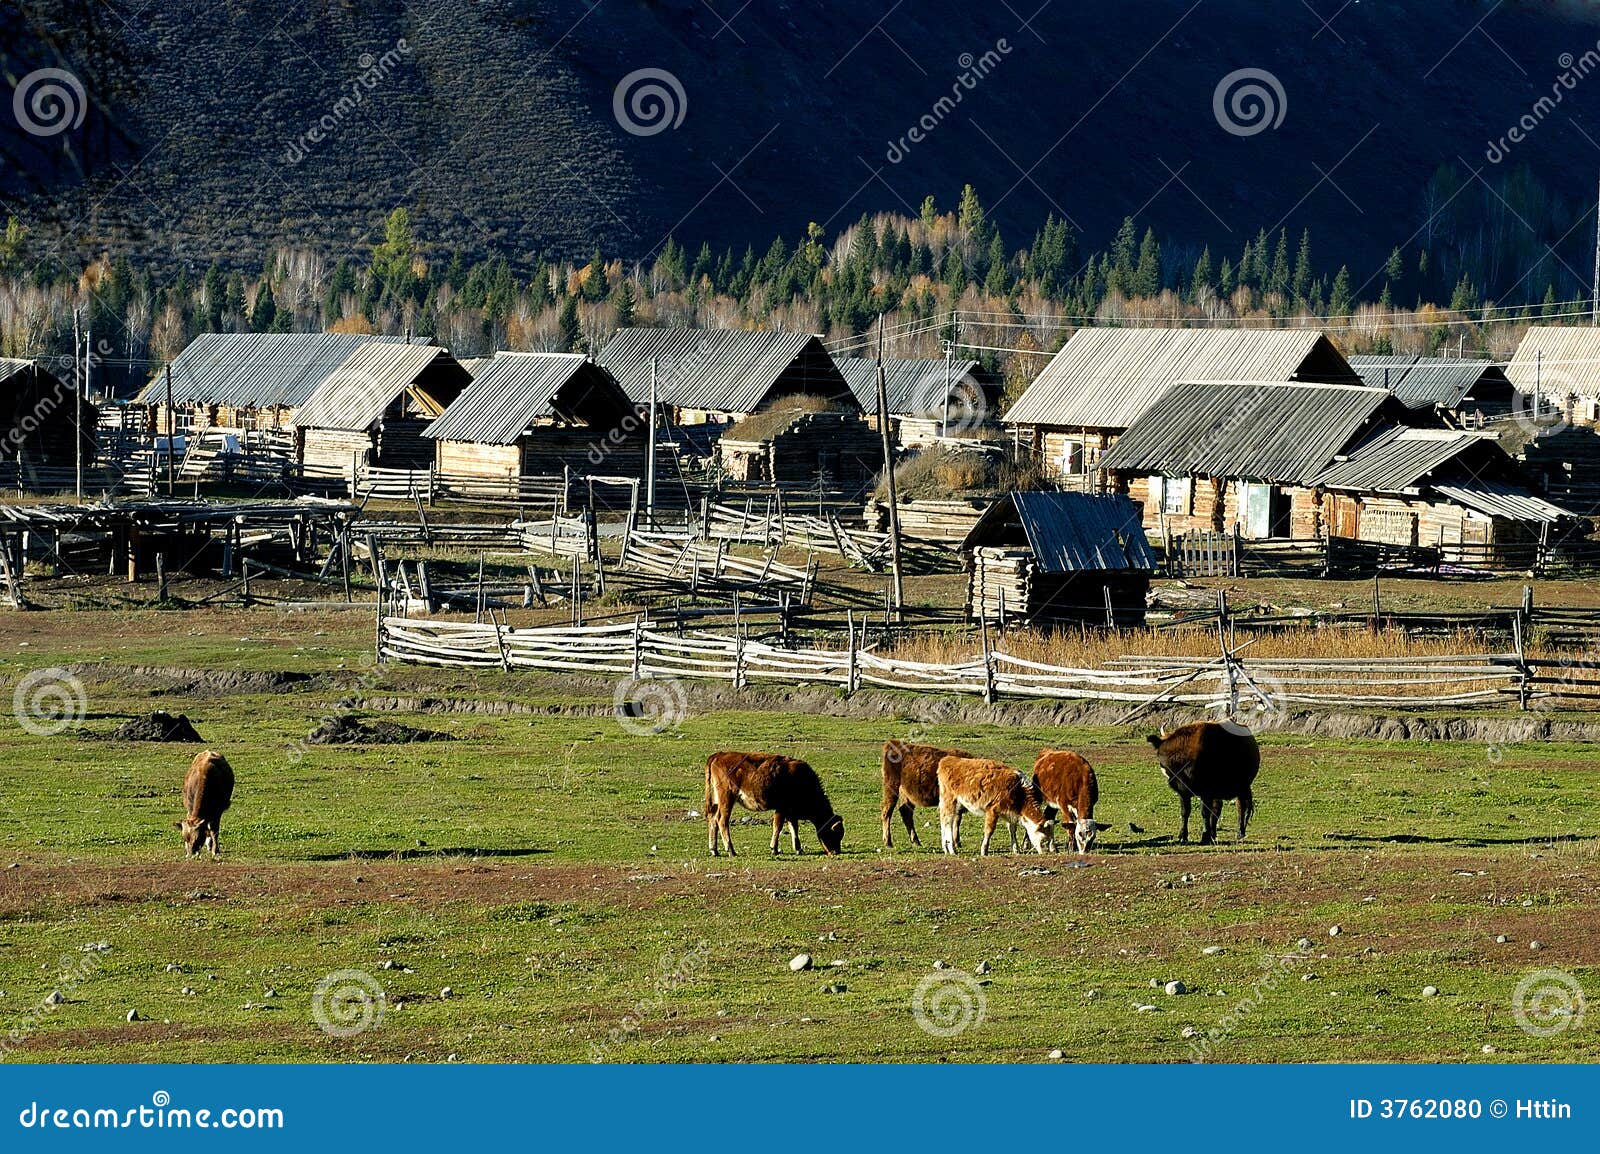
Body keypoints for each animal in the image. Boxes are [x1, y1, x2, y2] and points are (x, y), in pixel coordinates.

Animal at [705, 751, 845, 857]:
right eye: (834, 833)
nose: (835, 852)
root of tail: (718, 755)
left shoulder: (790, 811)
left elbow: (793, 827)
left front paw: (798, 849)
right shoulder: (782, 808)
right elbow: (778, 826)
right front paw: (774, 849)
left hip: (717, 800)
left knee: (713, 818)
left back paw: (714, 850)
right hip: (726, 798)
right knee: (722, 820)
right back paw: (731, 851)